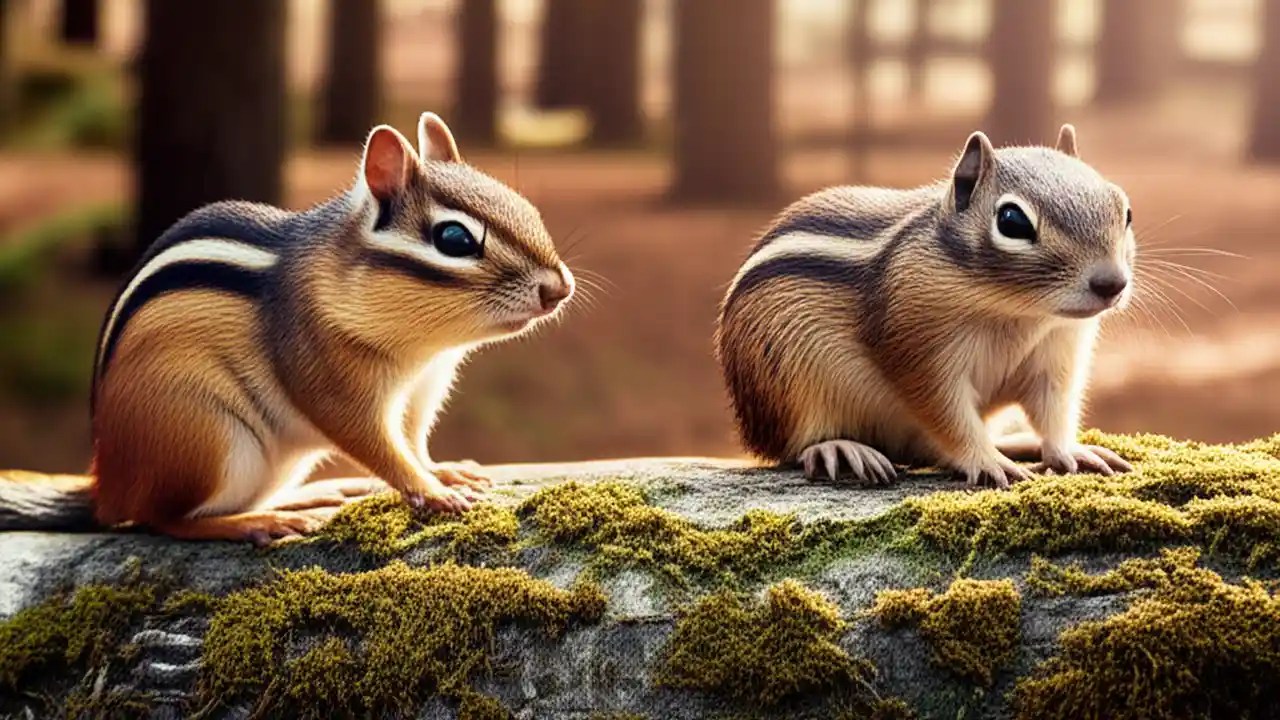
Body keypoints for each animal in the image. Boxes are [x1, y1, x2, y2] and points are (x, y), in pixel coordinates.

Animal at [0, 112, 574, 544]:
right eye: (455, 239)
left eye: (524, 205)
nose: (559, 288)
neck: (425, 346)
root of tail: (107, 485)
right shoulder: (326, 374)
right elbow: (376, 442)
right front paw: (431, 491)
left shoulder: (422, 389)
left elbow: (413, 439)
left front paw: (443, 470)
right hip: (207, 438)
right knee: (163, 518)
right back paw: (257, 522)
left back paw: (311, 495)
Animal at [715, 125, 1134, 488]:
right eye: (1012, 221)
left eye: (1124, 209)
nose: (1111, 283)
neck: (1017, 311)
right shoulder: (918, 352)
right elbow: (948, 415)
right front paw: (987, 461)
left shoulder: (1056, 354)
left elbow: (1054, 411)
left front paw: (1070, 452)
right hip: (788, 390)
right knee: (796, 447)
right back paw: (841, 448)